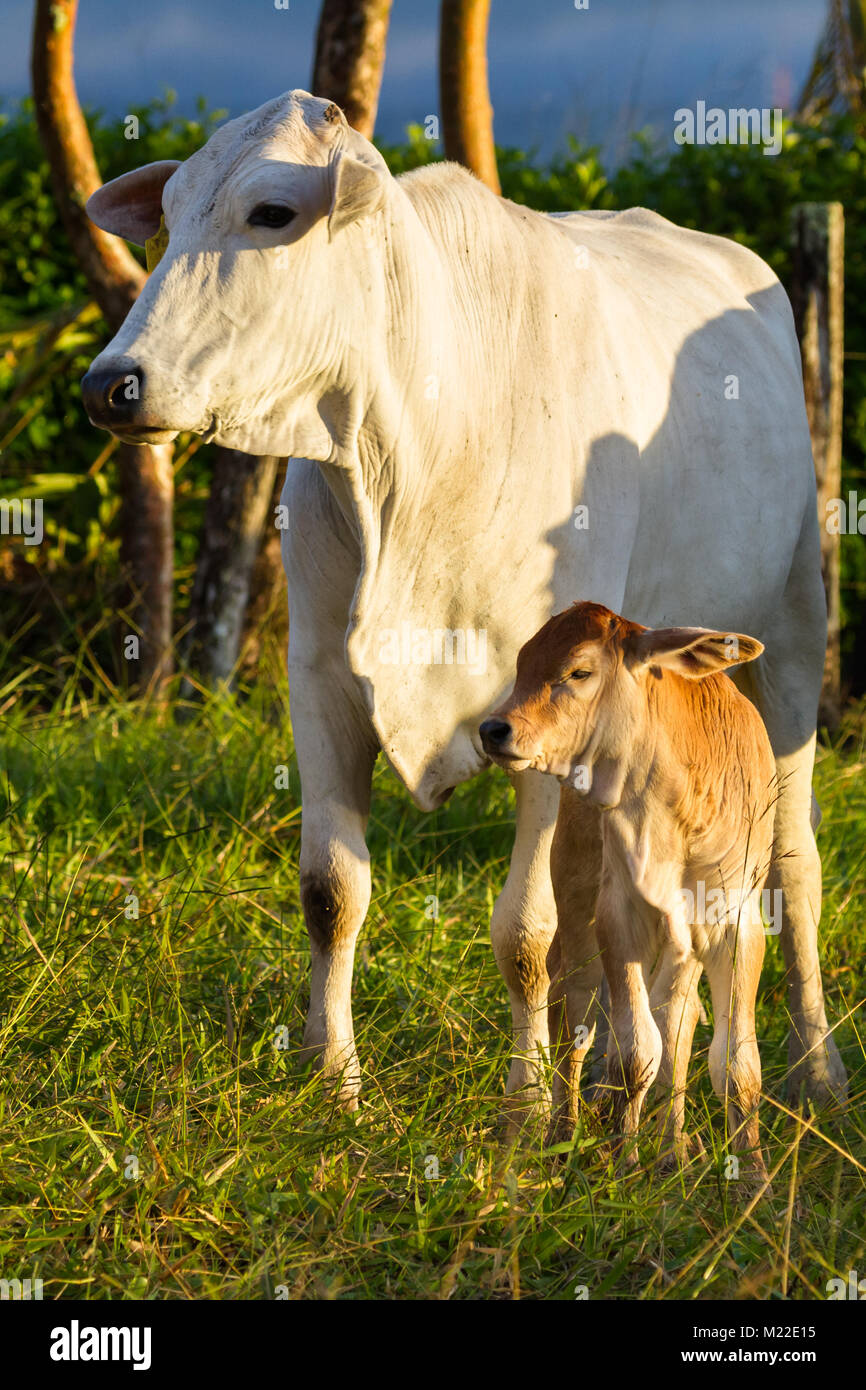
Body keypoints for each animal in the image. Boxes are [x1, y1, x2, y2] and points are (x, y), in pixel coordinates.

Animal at [480, 602, 776, 1176]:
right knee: (574, 1015)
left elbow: (735, 1064)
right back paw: (564, 1133)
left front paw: (752, 1177)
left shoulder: (736, 923)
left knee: (677, 1022)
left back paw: (674, 1147)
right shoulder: (620, 918)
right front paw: (622, 1162)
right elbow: (635, 1050)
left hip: (683, 945)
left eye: (579, 671)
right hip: (575, 911)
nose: (493, 729)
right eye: (523, 662)